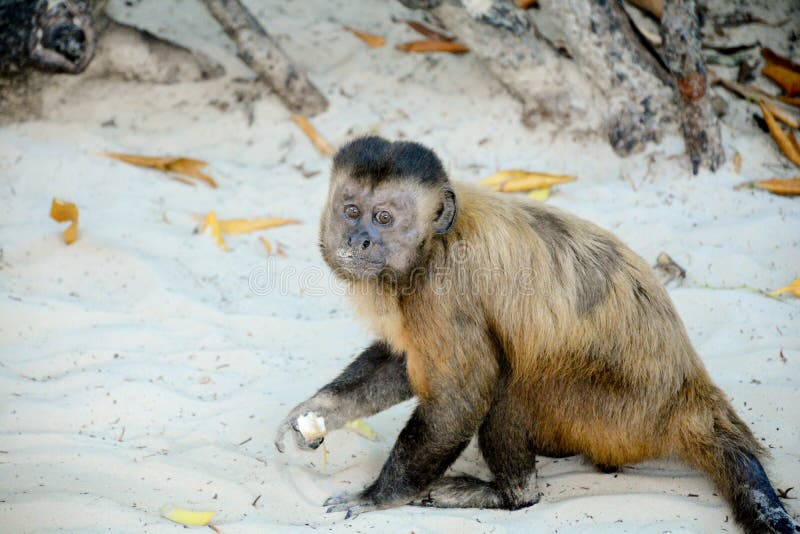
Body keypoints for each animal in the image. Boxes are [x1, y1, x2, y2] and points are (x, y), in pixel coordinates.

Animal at [274, 136, 799, 533]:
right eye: (351, 210)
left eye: (384, 218)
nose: (359, 239)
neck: (434, 243)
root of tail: (691, 394)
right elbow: (400, 365)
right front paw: (316, 415)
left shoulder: (444, 289)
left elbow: (461, 397)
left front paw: (380, 496)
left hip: (620, 416)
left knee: (511, 387)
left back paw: (512, 494)